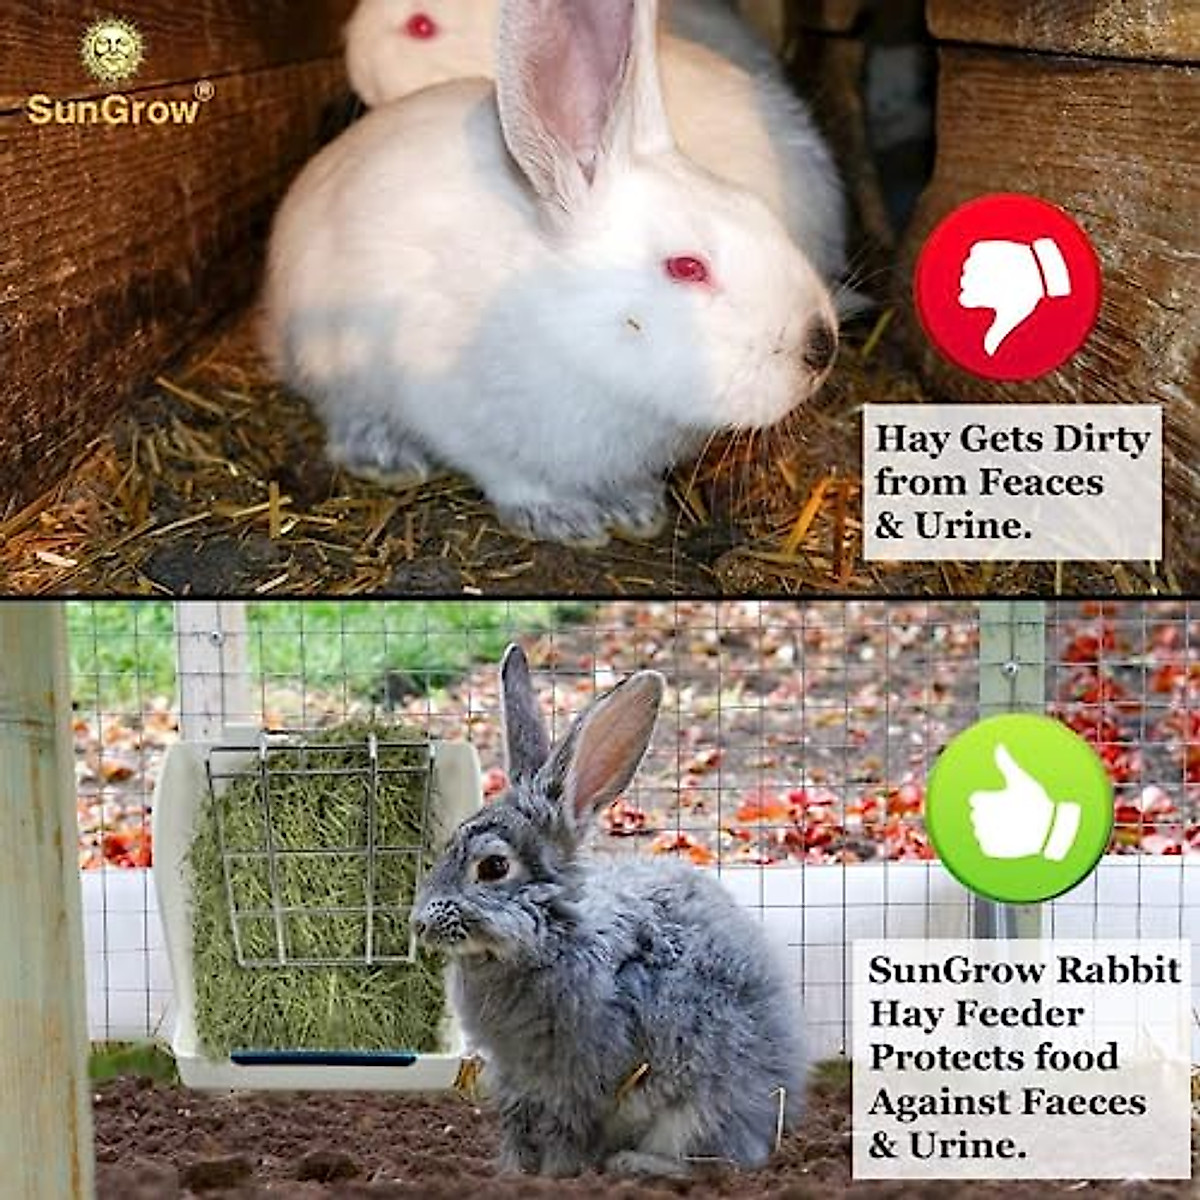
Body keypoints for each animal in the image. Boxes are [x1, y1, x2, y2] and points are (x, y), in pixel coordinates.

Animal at [411, 645, 804, 1177]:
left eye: (493, 867)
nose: (420, 924)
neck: (552, 934)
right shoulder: (515, 1080)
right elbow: (516, 1129)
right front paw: (511, 1173)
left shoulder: (578, 1082)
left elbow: (565, 1132)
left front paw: (555, 1176)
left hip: (700, 1102)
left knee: (710, 1158)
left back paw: (633, 1165)